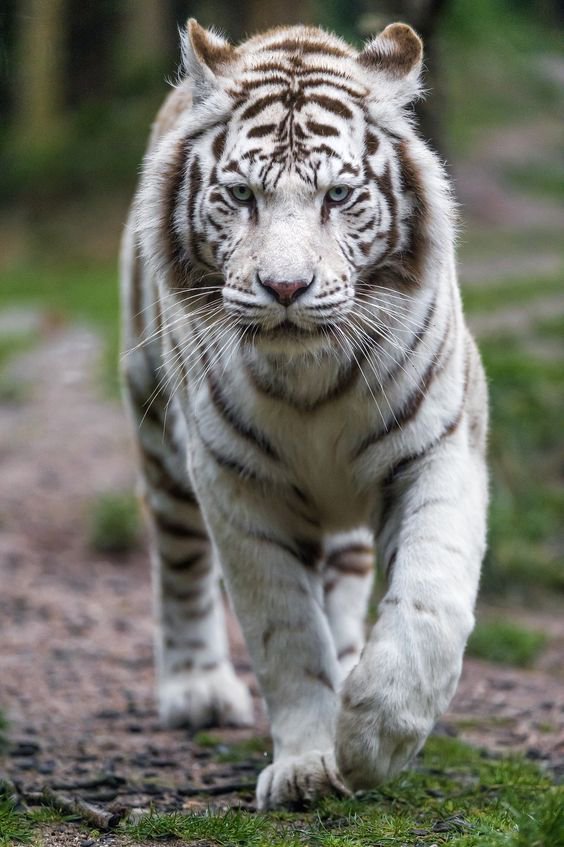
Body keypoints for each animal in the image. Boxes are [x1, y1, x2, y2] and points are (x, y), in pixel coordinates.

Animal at [120, 19, 488, 810]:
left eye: (339, 194)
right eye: (240, 194)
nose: (285, 287)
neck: (311, 375)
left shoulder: (439, 448)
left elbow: (428, 605)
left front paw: (373, 738)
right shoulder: (234, 480)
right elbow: (284, 631)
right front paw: (309, 764)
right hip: (159, 437)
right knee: (179, 559)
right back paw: (197, 687)